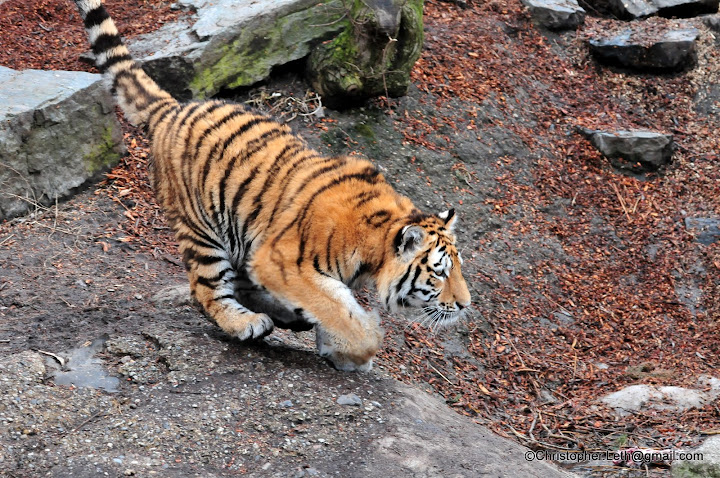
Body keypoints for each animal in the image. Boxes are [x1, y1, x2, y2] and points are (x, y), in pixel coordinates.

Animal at [69, 0, 471, 371]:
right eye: (439, 272)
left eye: (457, 268)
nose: (465, 304)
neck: (375, 244)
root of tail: (173, 108)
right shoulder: (284, 262)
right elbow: (338, 309)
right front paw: (360, 348)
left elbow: (338, 306)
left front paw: (338, 349)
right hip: (203, 230)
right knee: (206, 289)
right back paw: (246, 323)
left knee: (242, 286)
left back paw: (287, 315)